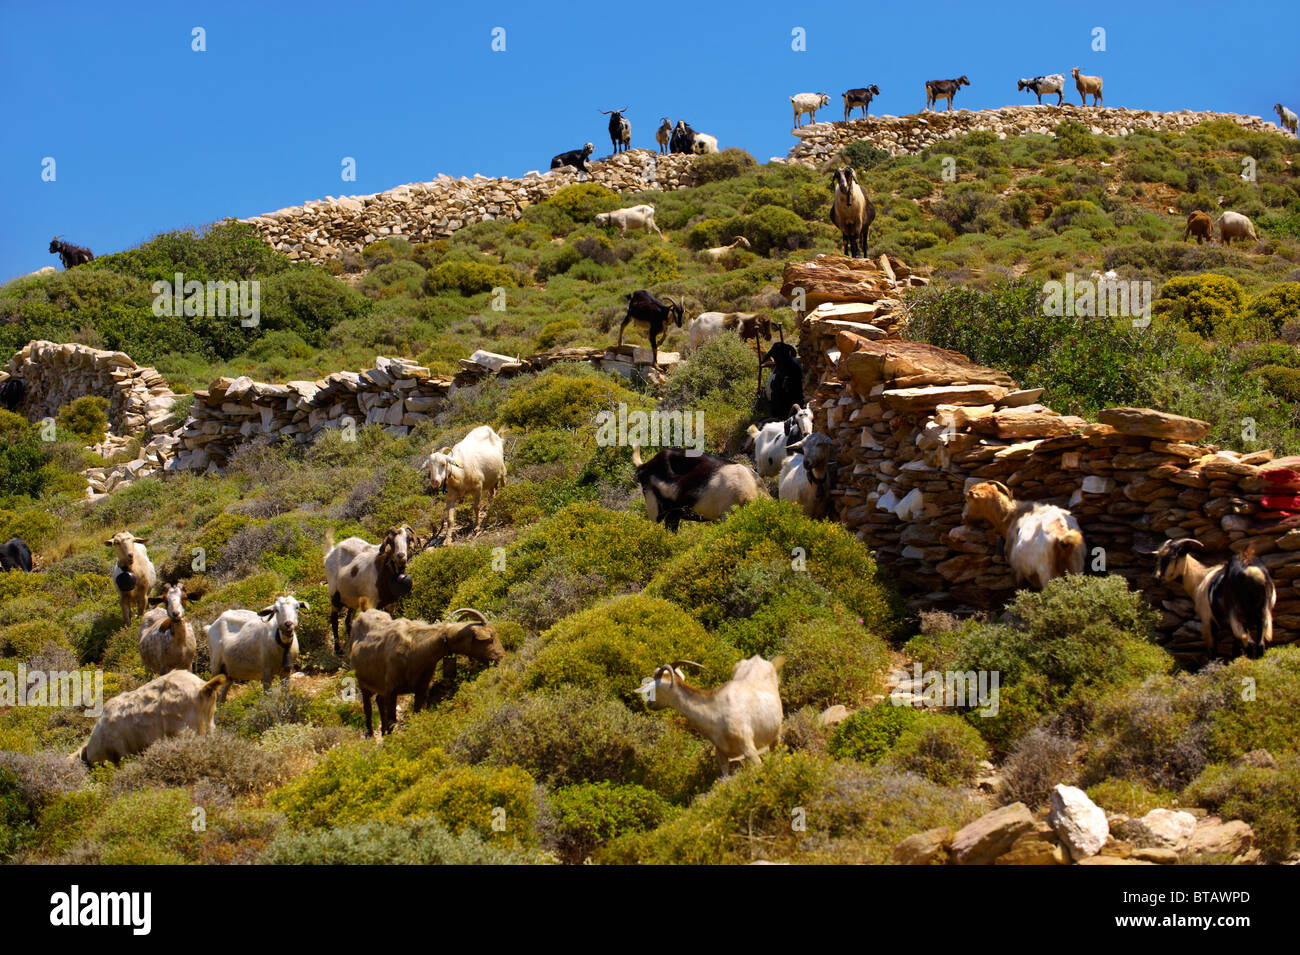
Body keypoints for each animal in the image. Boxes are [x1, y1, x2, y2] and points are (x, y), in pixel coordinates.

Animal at [325, 525, 420, 655]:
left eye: (408, 539)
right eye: (390, 541)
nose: (401, 556)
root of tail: (331, 553)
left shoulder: (390, 603)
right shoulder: (370, 604)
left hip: (352, 599)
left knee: (348, 621)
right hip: (334, 595)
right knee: (334, 619)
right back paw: (338, 649)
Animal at [349, 606, 505, 737]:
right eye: (490, 638)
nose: (501, 657)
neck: (417, 647)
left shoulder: (422, 688)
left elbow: (417, 714)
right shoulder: (392, 689)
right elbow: (392, 719)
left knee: (379, 701)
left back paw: (383, 732)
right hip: (363, 682)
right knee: (368, 708)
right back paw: (370, 734)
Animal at [635, 656, 783, 777]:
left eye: (653, 689)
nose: (649, 703)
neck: (716, 712)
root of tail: (757, 658)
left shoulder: (749, 751)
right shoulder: (721, 754)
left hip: (776, 735)